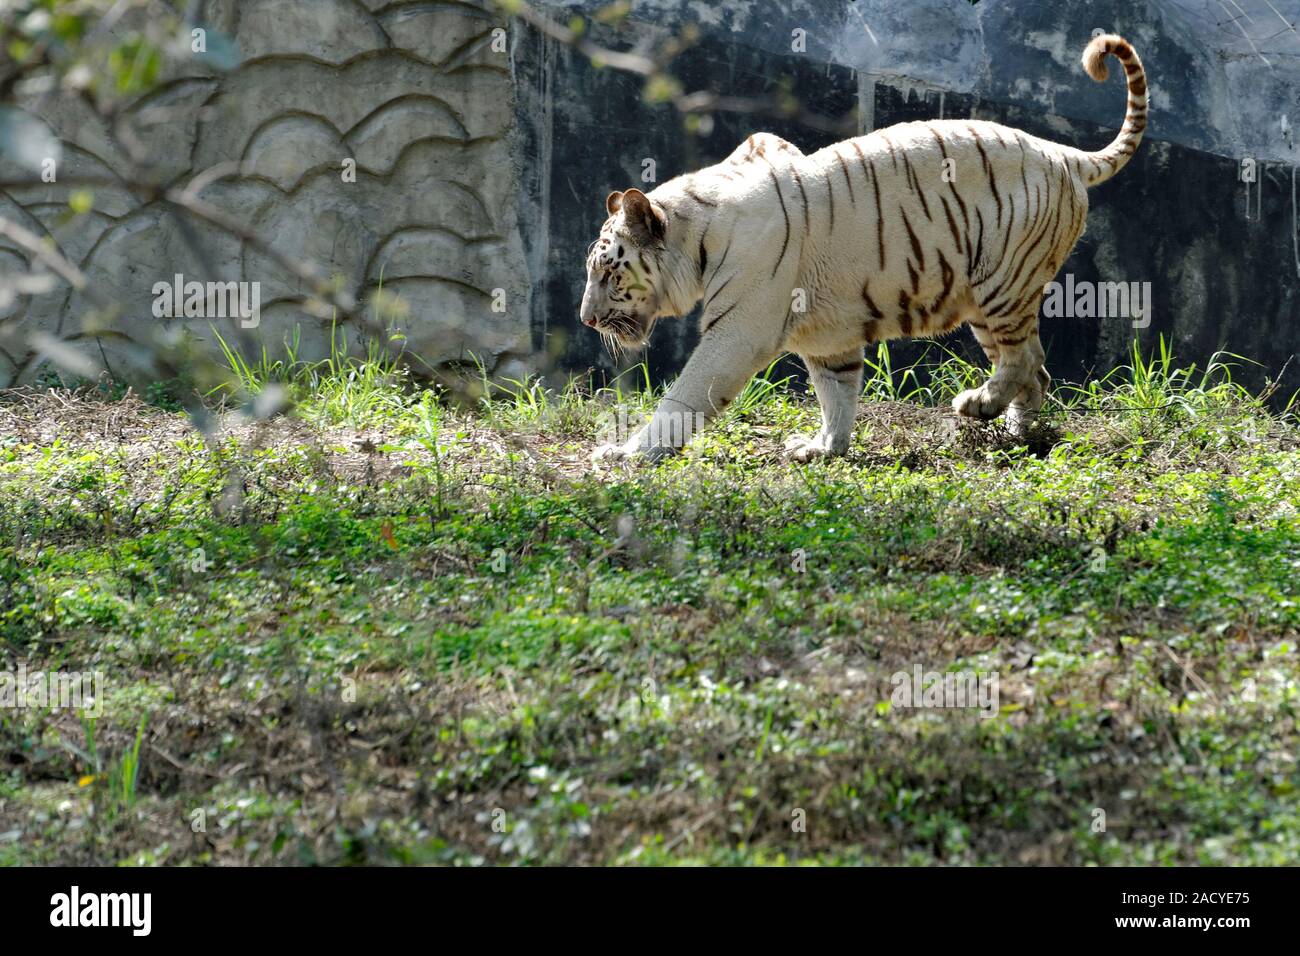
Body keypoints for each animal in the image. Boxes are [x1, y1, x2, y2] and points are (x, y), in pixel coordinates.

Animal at [581, 33, 1148, 462]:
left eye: (609, 273)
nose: (587, 320)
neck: (695, 233)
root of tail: (1063, 152)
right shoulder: (825, 335)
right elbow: (836, 393)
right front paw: (823, 448)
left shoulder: (738, 330)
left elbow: (684, 395)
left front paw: (627, 452)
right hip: (987, 304)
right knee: (1036, 367)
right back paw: (1014, 433)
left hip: (1003, 284)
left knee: (1024, 357)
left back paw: (978, 404)